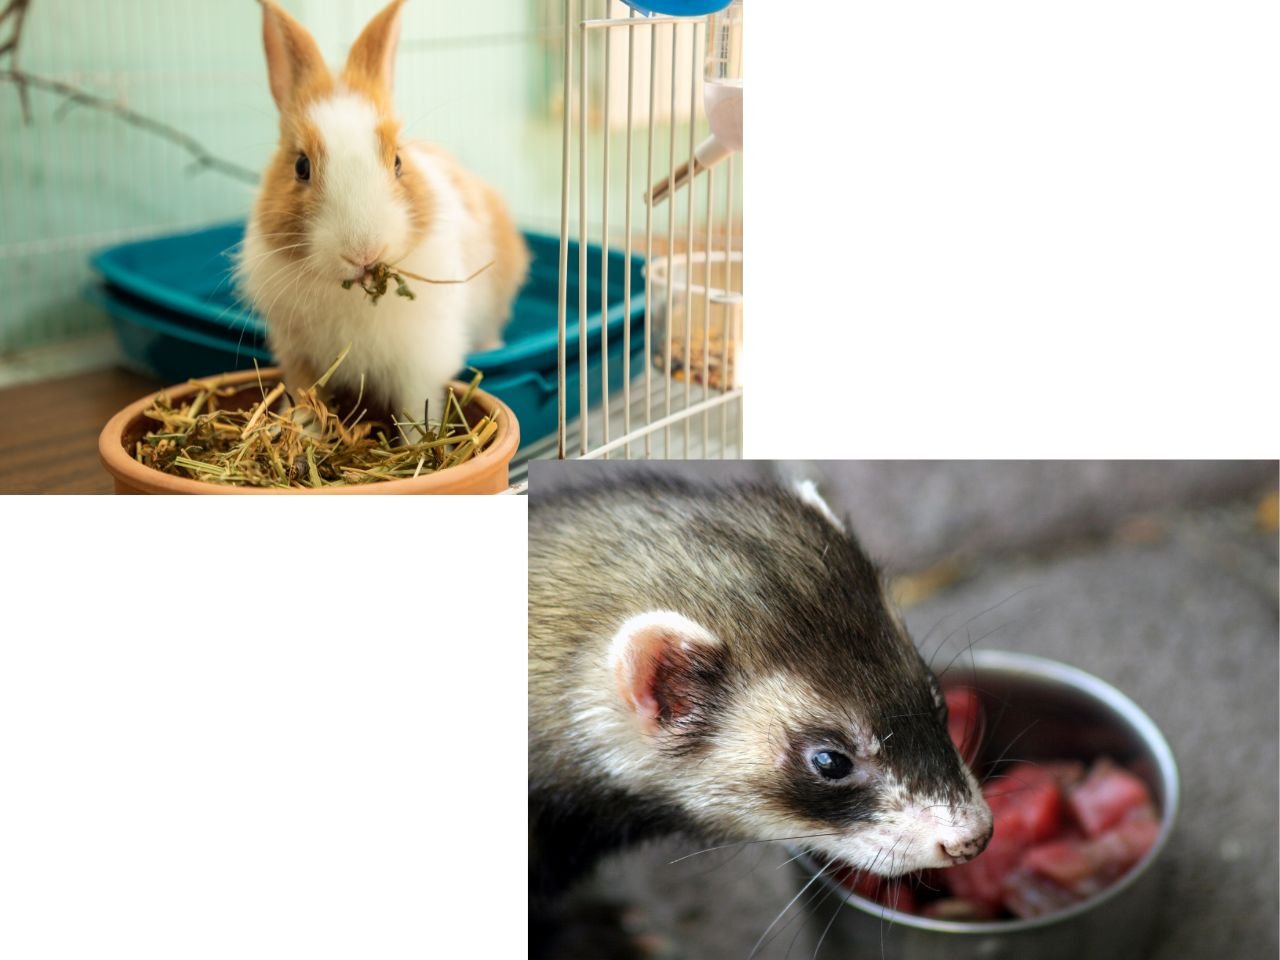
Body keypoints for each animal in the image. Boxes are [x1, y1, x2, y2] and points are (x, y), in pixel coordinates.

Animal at [237, 0, 529, 426]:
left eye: (397, 162)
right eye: (301, 166)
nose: (364, 253)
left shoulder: (419, 365)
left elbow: (416, 416)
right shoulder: (301, 360)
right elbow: (308, 403)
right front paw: (302, 432)